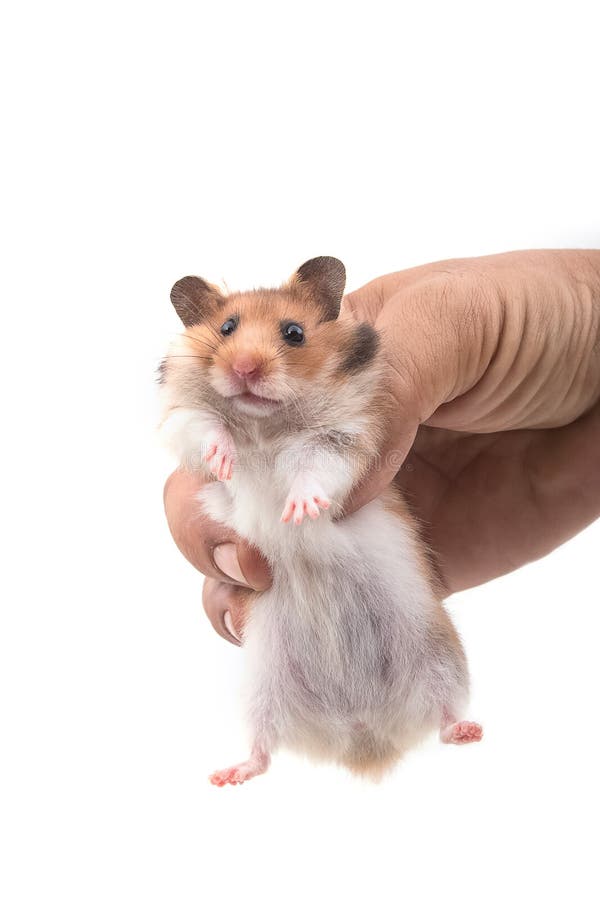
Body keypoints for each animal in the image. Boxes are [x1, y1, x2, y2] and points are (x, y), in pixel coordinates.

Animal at [159, 256, 482, 786]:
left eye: (294, 333)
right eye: (226, 328)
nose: (244, 369)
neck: (266, 422)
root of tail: (364, 734)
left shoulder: (344, 440)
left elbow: (315, 468)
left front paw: (299, 511)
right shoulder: (182, 419)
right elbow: (206, 429)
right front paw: (225, 460)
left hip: (440, 657)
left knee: (446, 715)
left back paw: (470, 731)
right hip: (263, 688)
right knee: (263, 750)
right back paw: (228, 775)